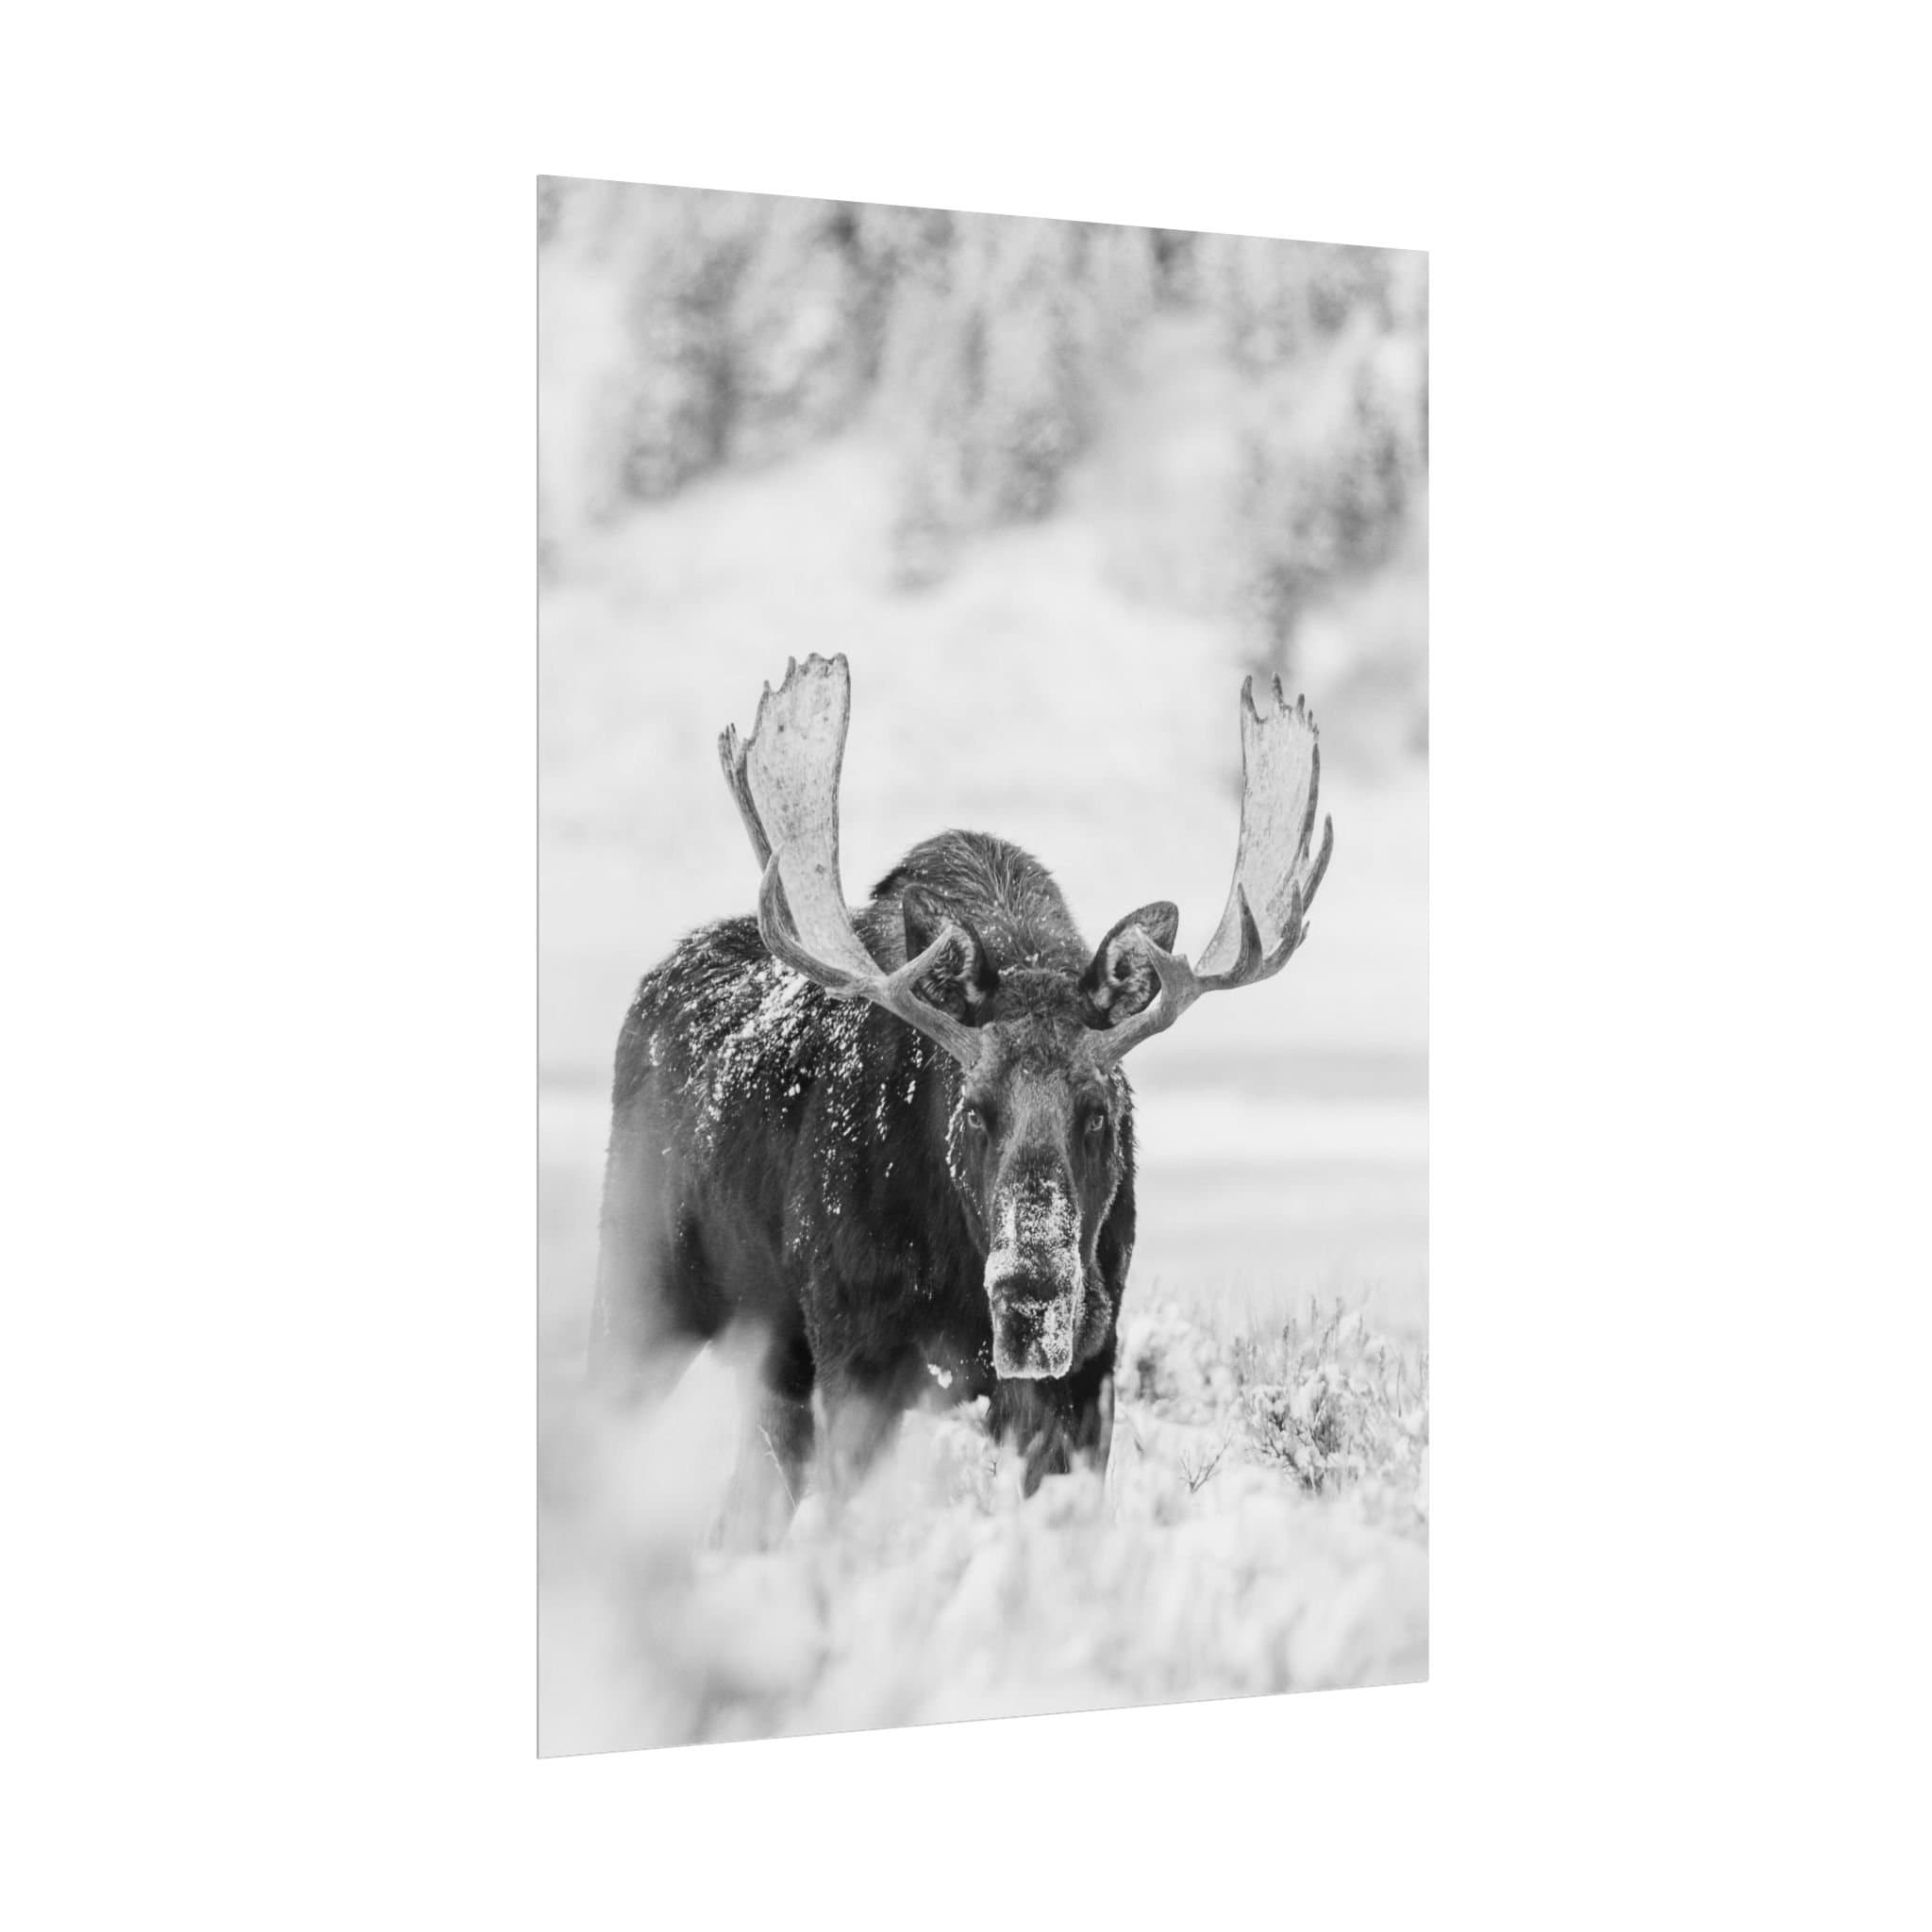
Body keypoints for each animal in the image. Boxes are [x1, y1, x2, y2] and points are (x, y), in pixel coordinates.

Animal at [588, 653, 1331, 1514]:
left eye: (1101, 1112)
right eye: (973, 1111)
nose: (1032, 1298)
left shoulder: (1087, 1374)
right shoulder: (857, 1354)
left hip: (773, 1355)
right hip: (645, 1297)